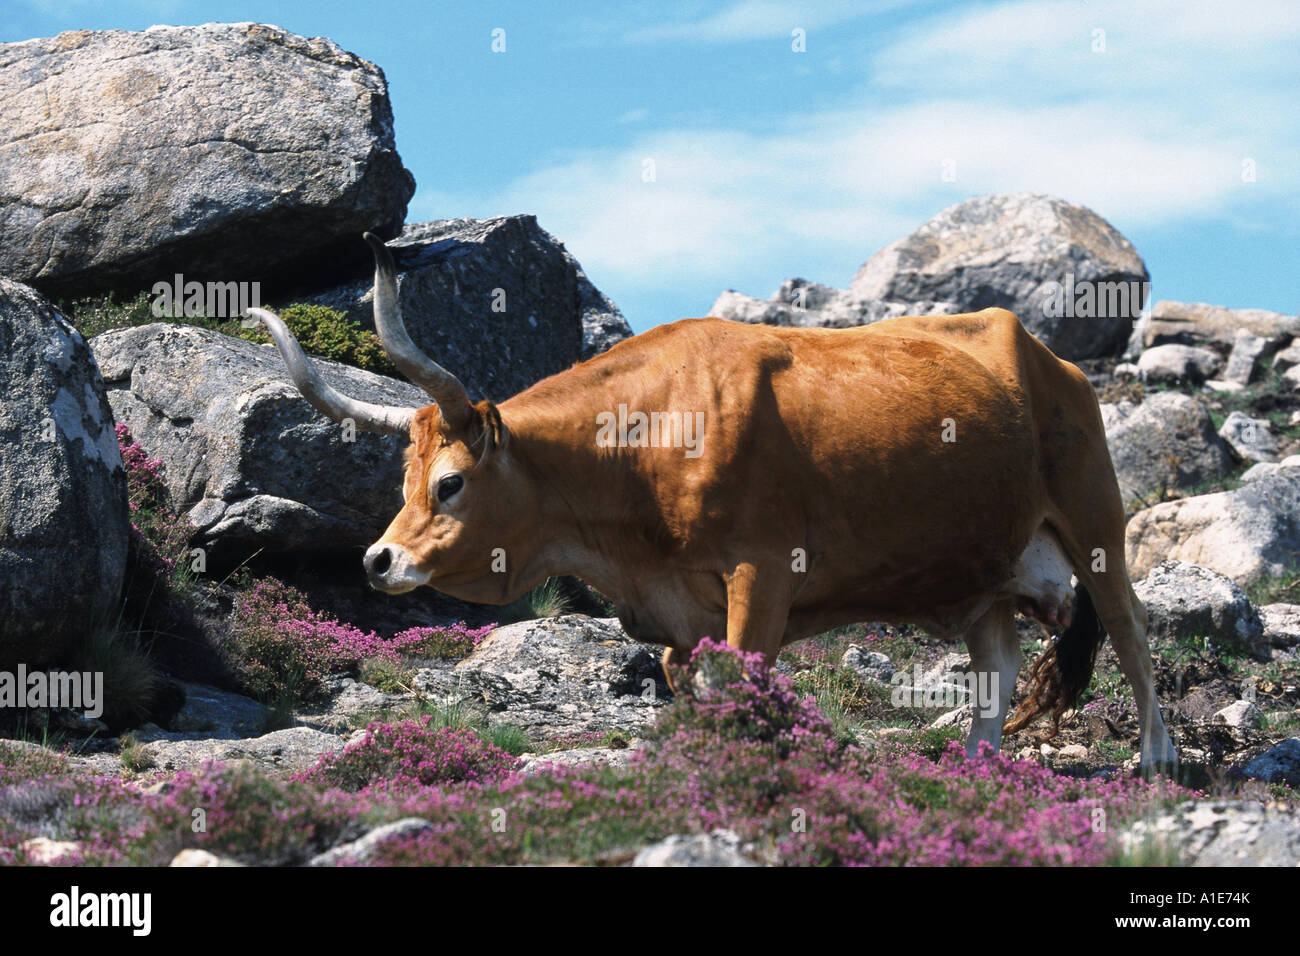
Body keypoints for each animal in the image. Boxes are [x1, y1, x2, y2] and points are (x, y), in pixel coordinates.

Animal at [248, 233, 1179, 776]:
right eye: (404, 482)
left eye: (450, 482)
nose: (379, 559)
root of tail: (1045, 355)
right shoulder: (677, 608)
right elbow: (683, 678)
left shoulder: (761, 575)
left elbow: (739, 676)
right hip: (984, 566)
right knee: (998, 662)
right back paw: (977, 766)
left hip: (1094, 518)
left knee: (1131, 631)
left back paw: (1157, 759)